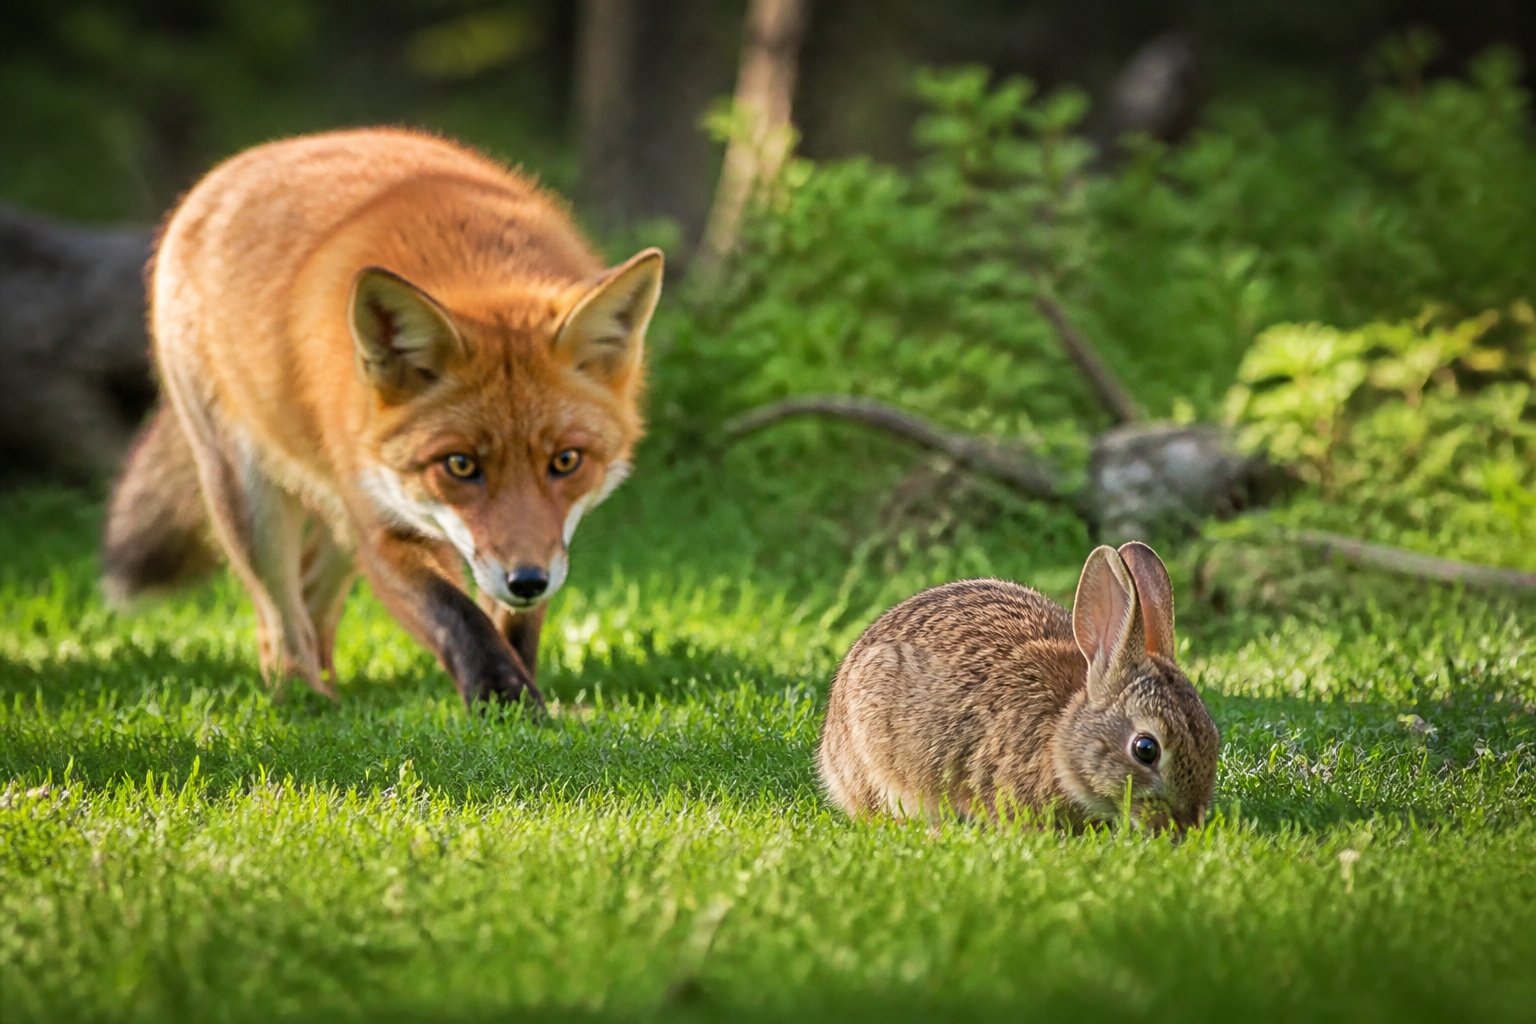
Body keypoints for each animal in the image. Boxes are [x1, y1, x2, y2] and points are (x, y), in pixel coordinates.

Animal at [102, 127, 663, 709]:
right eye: (460, 465)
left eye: (567, 461)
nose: (527, 580)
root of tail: (251, 157)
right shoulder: (385, 527)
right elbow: (459, 618)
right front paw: (508, 706)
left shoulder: (539, 541)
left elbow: (510, 630)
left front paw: (519, 700)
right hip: (251, 498)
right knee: (278, 621)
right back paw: (303, 703)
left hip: (338, 517)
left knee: (311, 600)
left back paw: (332, 698)